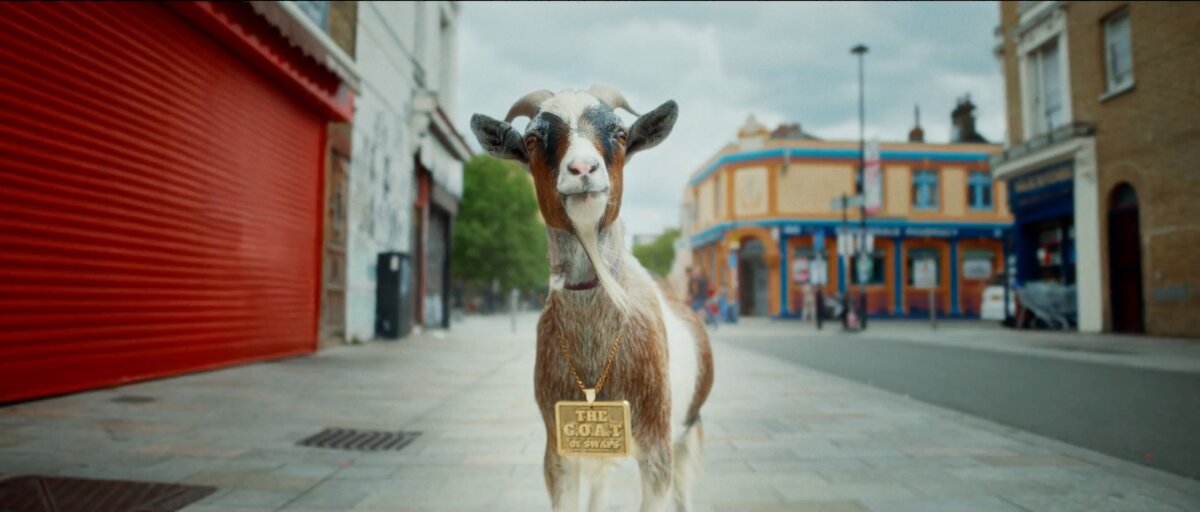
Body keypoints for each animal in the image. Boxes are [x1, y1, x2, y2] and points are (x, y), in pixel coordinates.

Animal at [471, 87, 714, 512]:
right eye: (532, 139)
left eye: (619, 132)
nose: (583, 169)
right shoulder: (559, 450)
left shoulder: (657, 451)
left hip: (687, 432)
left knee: (685, 494)